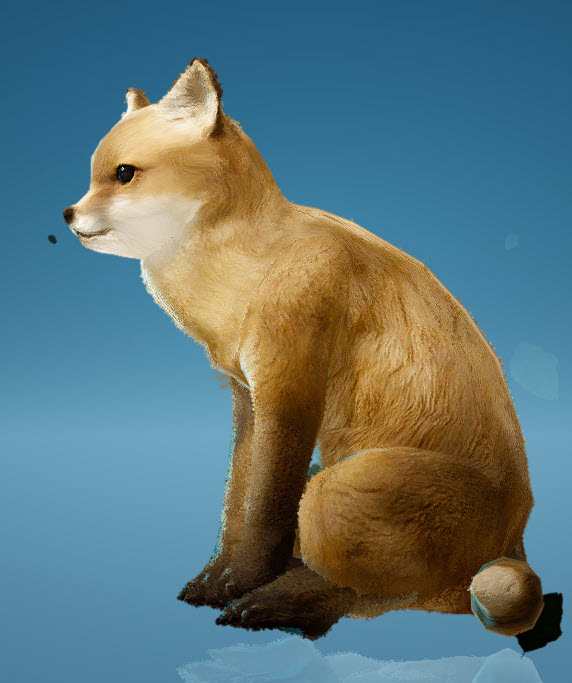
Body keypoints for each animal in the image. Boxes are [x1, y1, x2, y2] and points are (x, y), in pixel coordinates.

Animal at [63, 57, 549, 642]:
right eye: (94, 176)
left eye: (123, 174)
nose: (66, 215)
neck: (245, 269)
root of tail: (515, 538)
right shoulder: (247, 395)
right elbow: (237, 504)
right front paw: (217, 578)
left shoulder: (289, 388)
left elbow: (266, 512)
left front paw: (241, 584)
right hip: (327, 480)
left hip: (333, 494)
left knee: (399, 596)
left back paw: (285, 604)